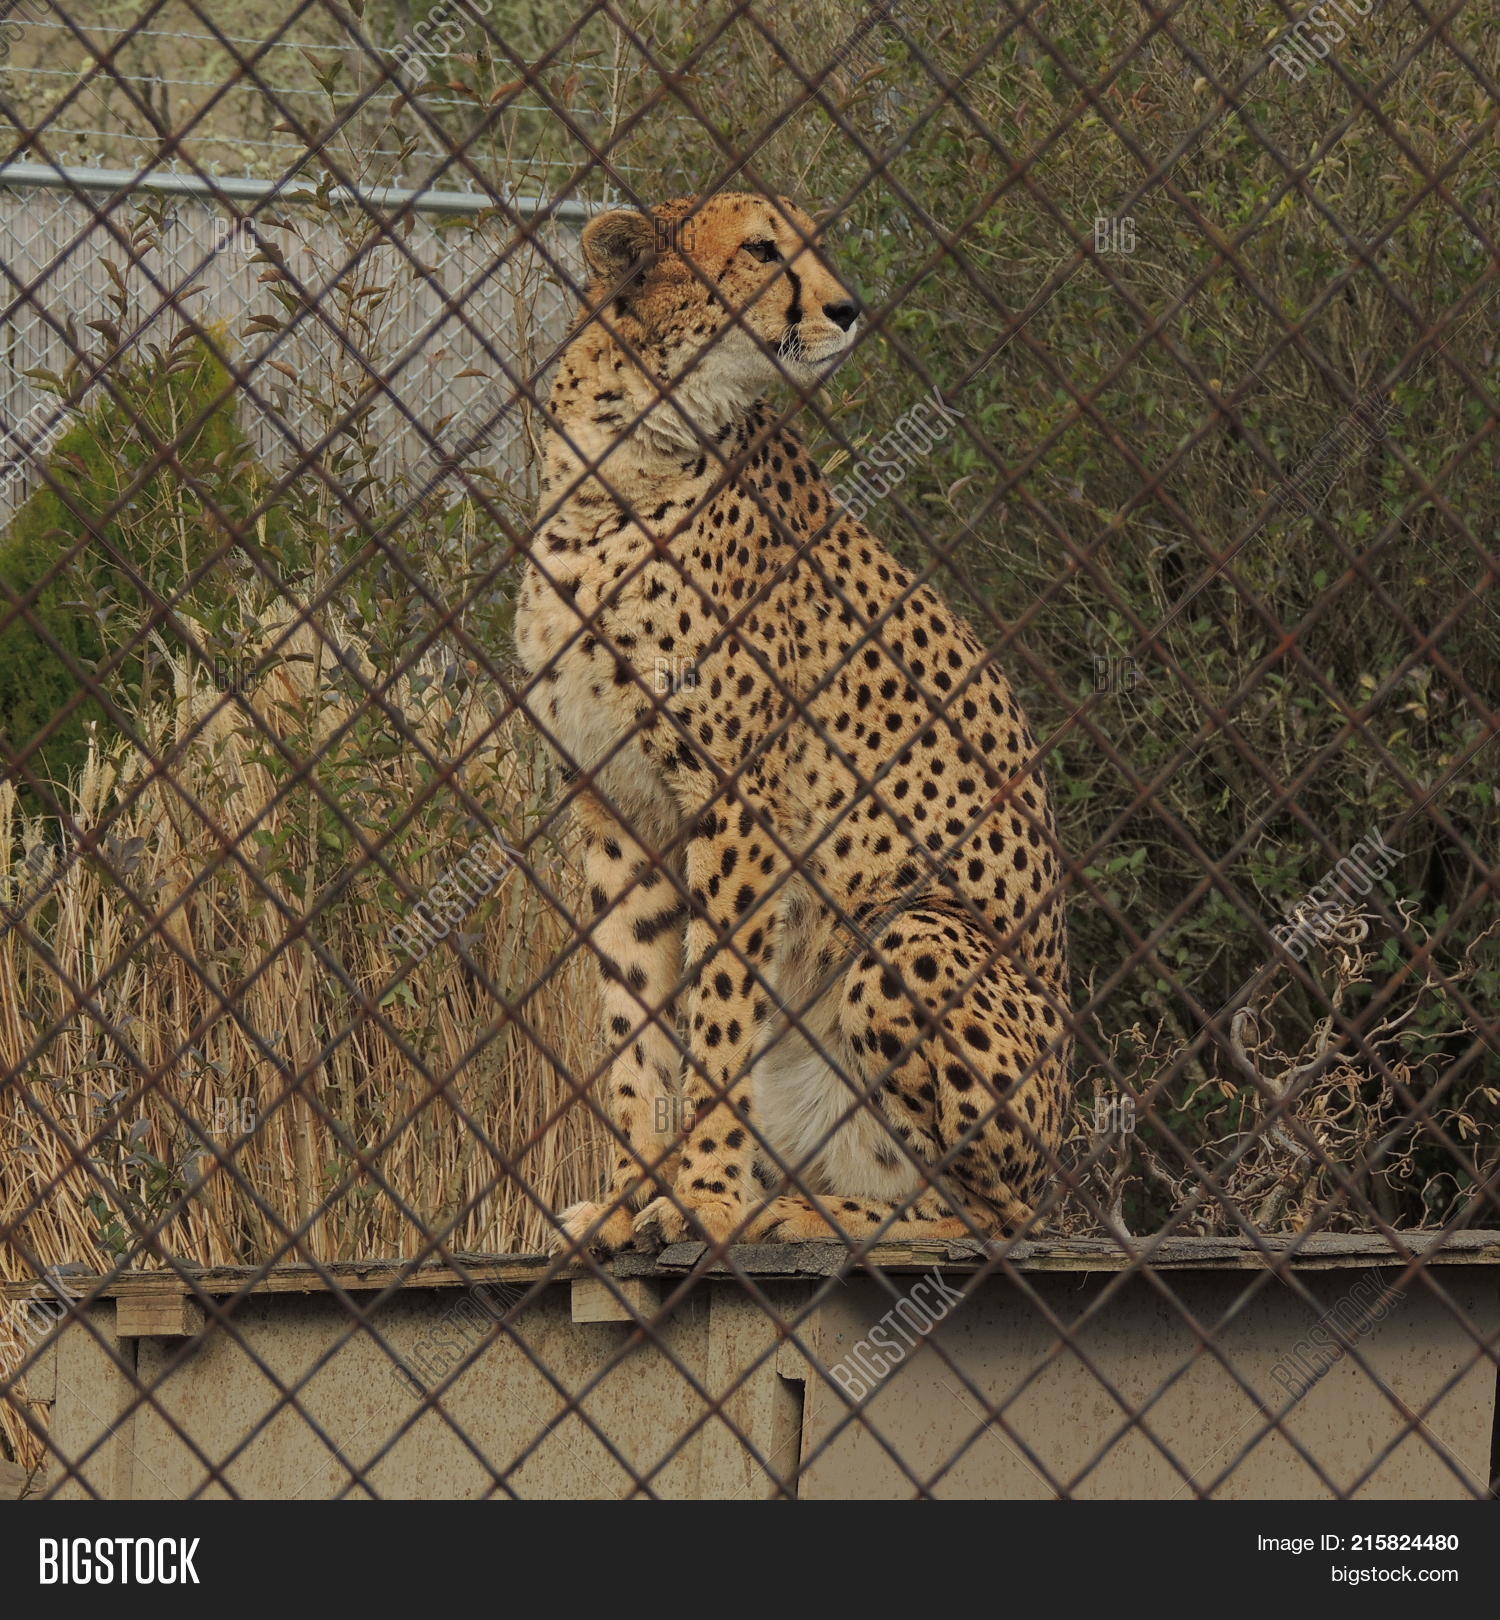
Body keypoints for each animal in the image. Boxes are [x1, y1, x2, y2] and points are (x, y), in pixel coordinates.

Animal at [515, 191, 1070, 1255]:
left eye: (816, 246)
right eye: (766, 251)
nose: (849, 309)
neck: (626, 459)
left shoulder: (739, 803)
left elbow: (720, 1010)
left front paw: (701, 1197)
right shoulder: (618, 807)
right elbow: (633, 1023)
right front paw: (626, 1198)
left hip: (913, 934)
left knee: (988, 1218)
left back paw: (787, 1212)